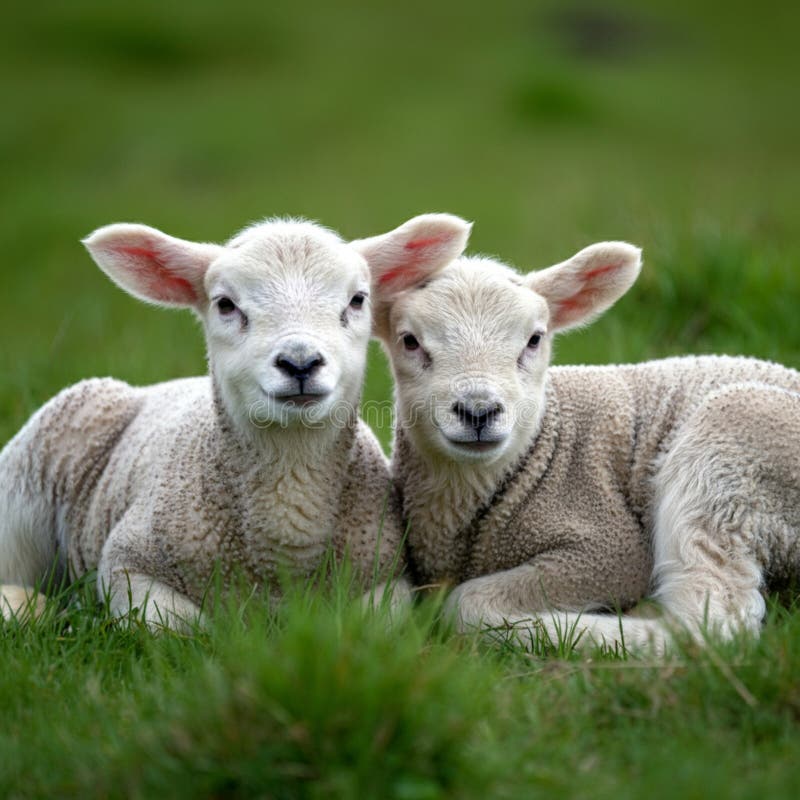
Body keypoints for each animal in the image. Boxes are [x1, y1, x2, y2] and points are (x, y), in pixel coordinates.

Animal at [0, 214, 470, 629]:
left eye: (357, 300)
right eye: (225, 304)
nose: (300, 363)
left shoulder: (388, 581)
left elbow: (368, 627)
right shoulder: (128, 566)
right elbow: (183, 628)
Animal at [360, 219, 800, 654]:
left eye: (535, 339)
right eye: (409, 341)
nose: (478, 411)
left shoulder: (608, 548)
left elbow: (466, 603)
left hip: (729, 457)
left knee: (711, 628)